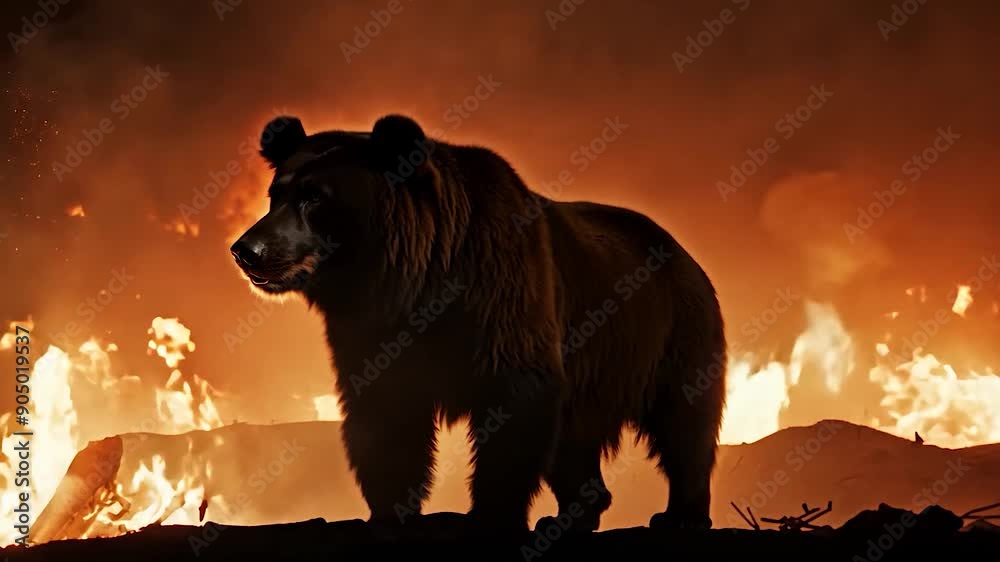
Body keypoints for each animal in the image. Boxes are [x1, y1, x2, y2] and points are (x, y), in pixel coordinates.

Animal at [230, 113, 727, 534]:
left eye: (315, 196)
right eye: (275, 194)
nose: (246, 249)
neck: (413, 280)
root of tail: (679, 248)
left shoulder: (501, 301)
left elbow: (515, 399)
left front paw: (492, 516)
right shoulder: (374, 332)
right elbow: (385, 413)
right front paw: (391, 512)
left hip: (670, 332)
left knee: (684, 423)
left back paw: (680, 515)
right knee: (573, 442)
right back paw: (573, 515)